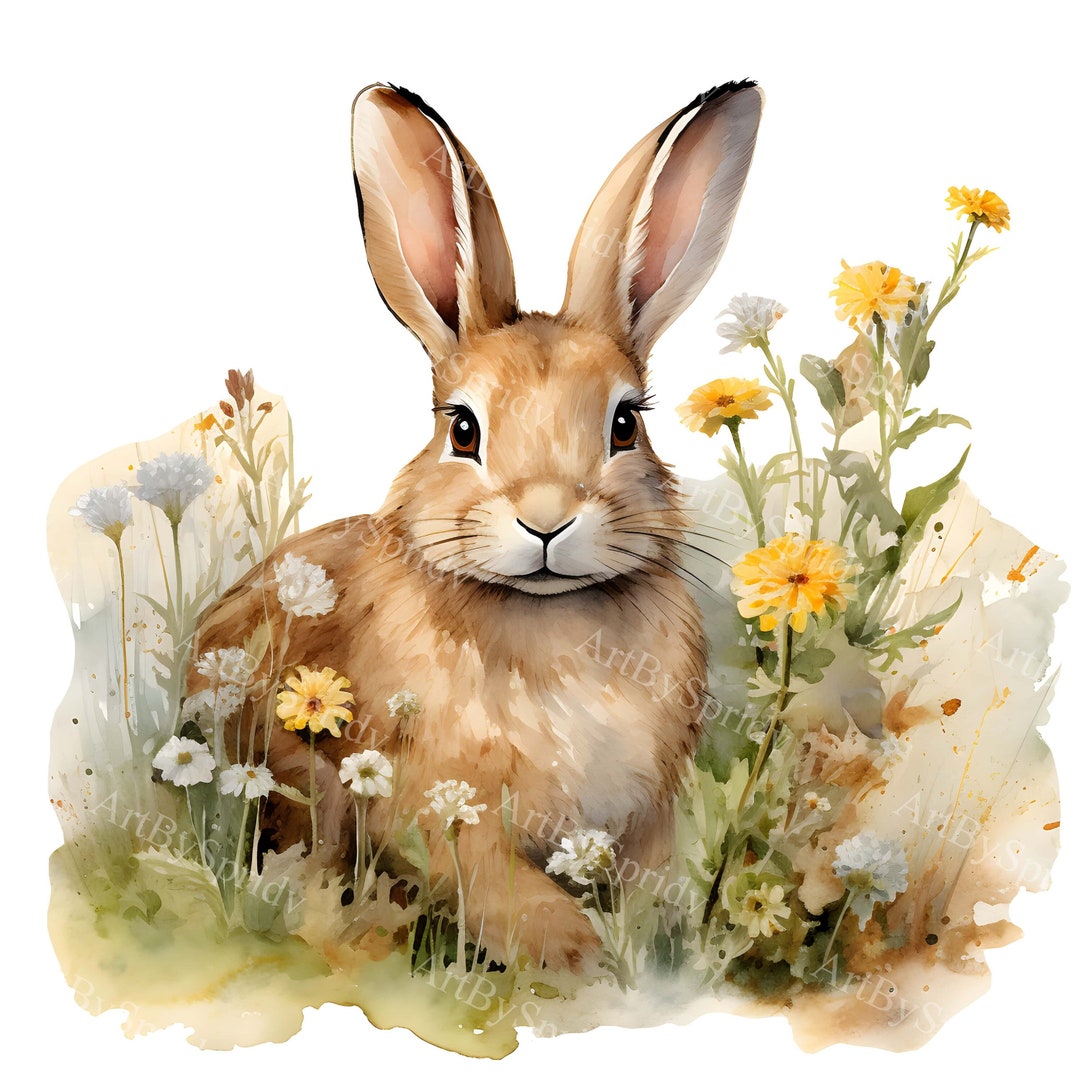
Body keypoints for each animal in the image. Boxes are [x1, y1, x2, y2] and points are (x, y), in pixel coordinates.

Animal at [190, 81, 763, 972]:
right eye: (463, 430)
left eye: (625, 425)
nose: (547, 520)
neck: (551, 618)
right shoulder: (439, 808)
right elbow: (518, 905)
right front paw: (589, 967)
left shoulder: (649, 820)